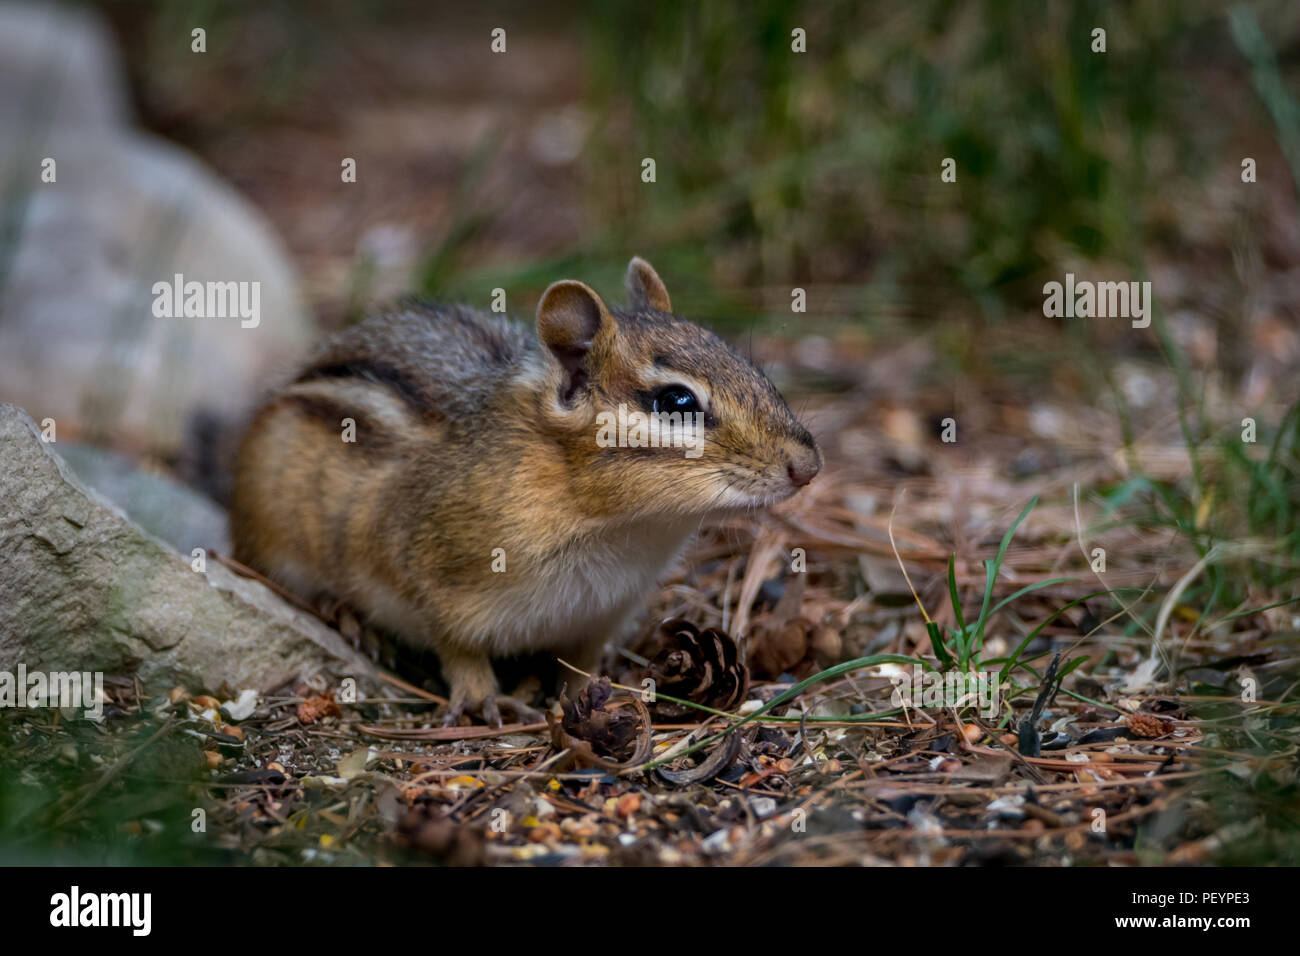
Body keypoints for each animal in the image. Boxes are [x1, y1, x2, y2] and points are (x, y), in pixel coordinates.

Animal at [230, 257, 821, 725]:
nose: (808, 466)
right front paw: (484, 697)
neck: (621, 529)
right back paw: (345, 615)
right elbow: (458, 648)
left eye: (744, 362)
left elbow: (580, 664)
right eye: (677, 402)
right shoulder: (431, 575)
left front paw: (598, 694)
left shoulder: (603, 613)